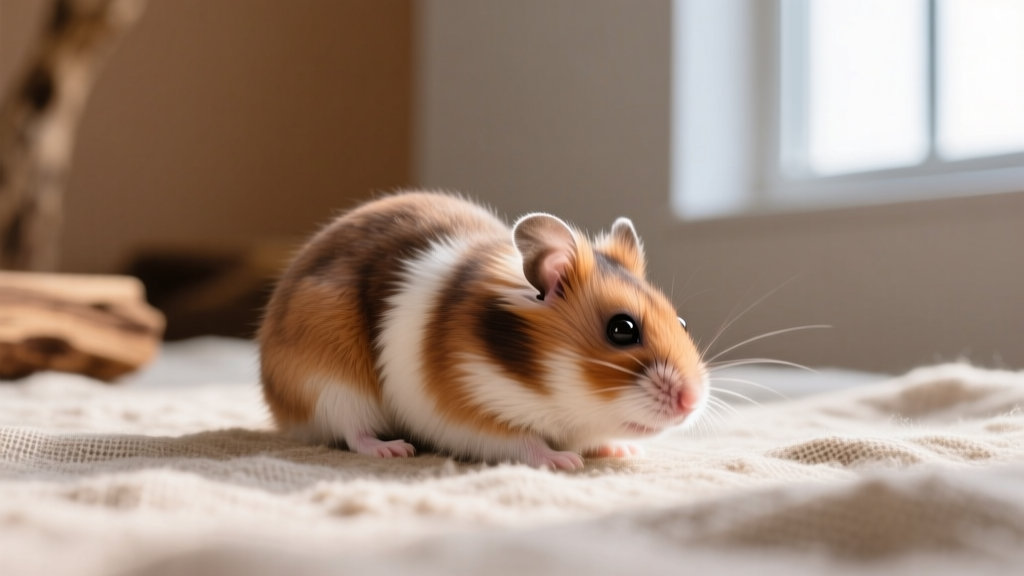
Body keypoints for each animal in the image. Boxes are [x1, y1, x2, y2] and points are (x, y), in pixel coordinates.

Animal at [259, 192, 707, 470]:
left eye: (682, 323)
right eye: (622, 329)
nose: (692, 402)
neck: (542, 386)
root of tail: (277, 404)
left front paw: (623, 450)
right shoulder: (463, 415)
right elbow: (521, 442)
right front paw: (564, 461)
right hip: (327, 379)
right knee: (350, 429)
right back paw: (394, 450)